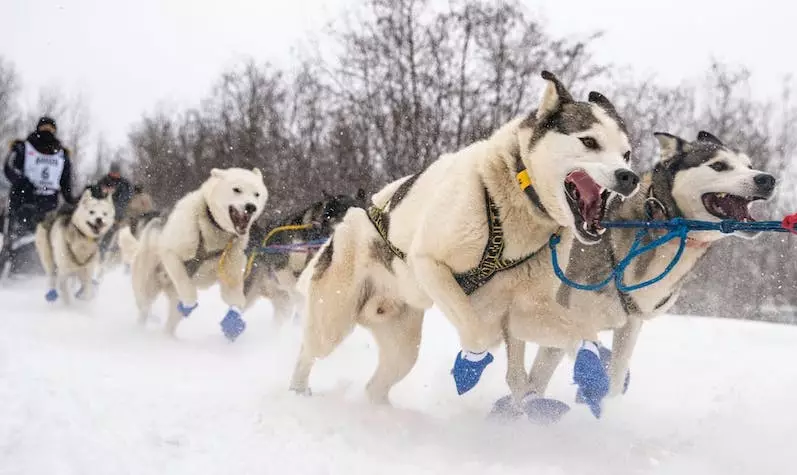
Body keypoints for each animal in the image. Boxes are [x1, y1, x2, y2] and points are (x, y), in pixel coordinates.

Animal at [504, 130, 776, 420]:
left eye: (749, 165)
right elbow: (540, 378)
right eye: (719, 166)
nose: (766, 179)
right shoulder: (563, 320)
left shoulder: (630, 325)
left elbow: (614, 376)